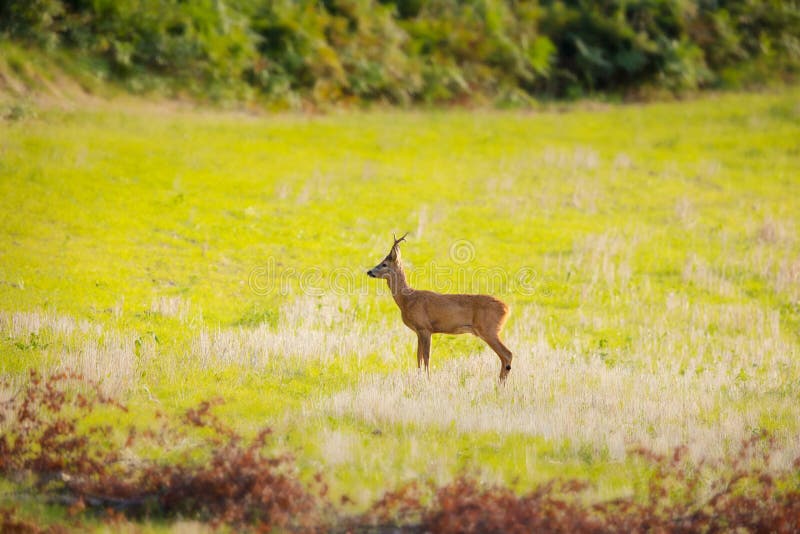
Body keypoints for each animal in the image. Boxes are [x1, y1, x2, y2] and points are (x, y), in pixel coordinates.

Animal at [367, 233, 514, 381]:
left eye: (384, 264)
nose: (369, 272)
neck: (407, 299)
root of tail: (507, 308)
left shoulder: (425, 328)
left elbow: (426, 357)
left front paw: (428, 379)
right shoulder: (419, 331)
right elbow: (418, 357)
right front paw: (419, 378)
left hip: (489, 330)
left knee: (507, 354)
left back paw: (500, 382)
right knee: (504, 357)